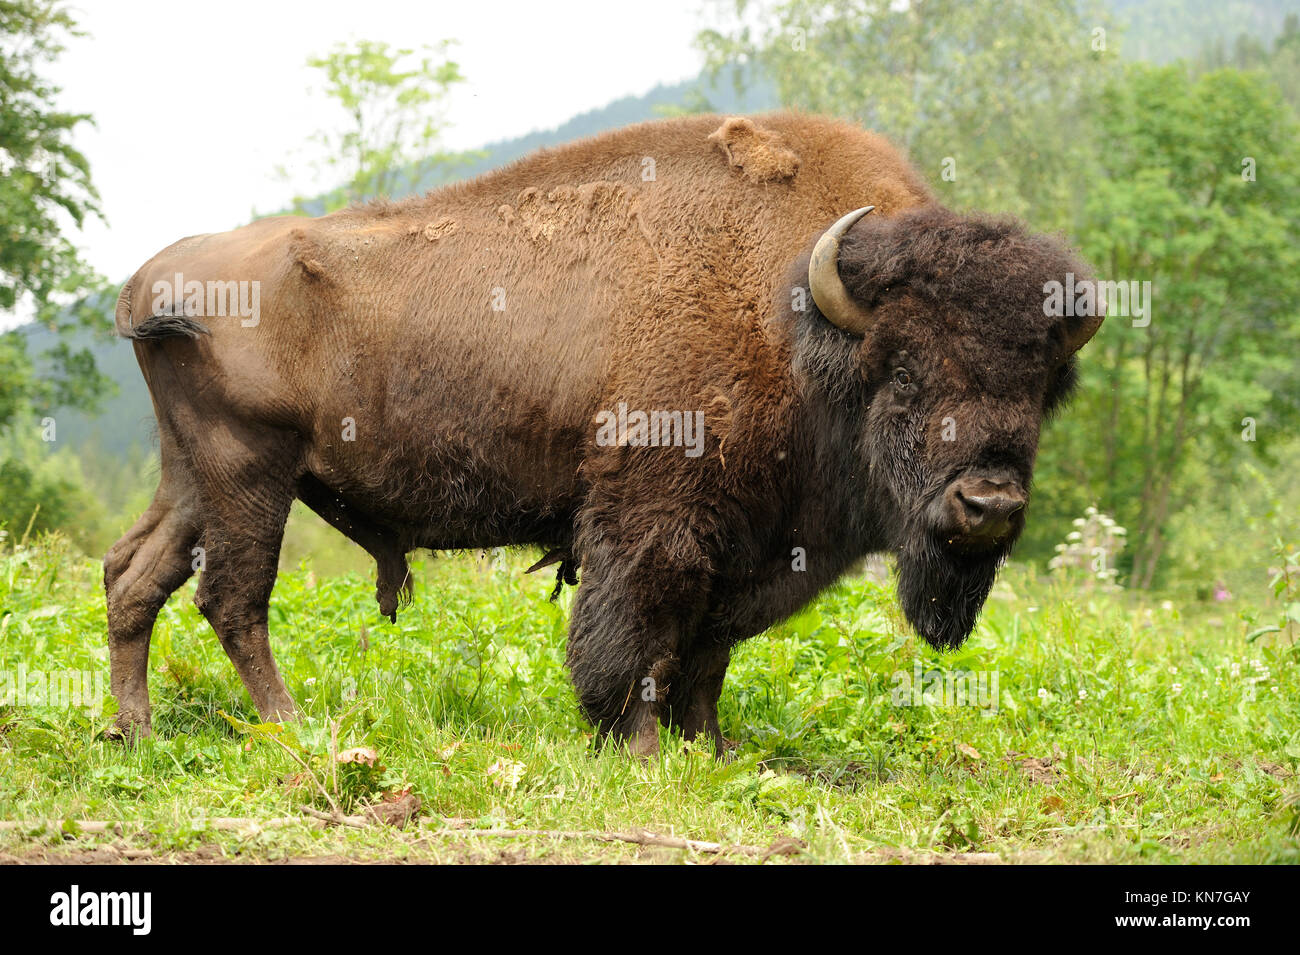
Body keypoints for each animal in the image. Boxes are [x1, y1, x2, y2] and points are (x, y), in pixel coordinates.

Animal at [105, 113, 1101, 755]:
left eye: (1041, 386)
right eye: (902, 371)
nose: (989, 503)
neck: (798, 318)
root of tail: (153, 274)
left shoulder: (748, 545)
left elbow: (708, 653)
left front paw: (710, 747)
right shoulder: (653, 520)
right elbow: (636, 640)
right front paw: (638, 747)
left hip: (192, 475)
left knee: (135, 575)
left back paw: (132, 729)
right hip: (250, 470)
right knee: (233, 596)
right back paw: (292, 727)